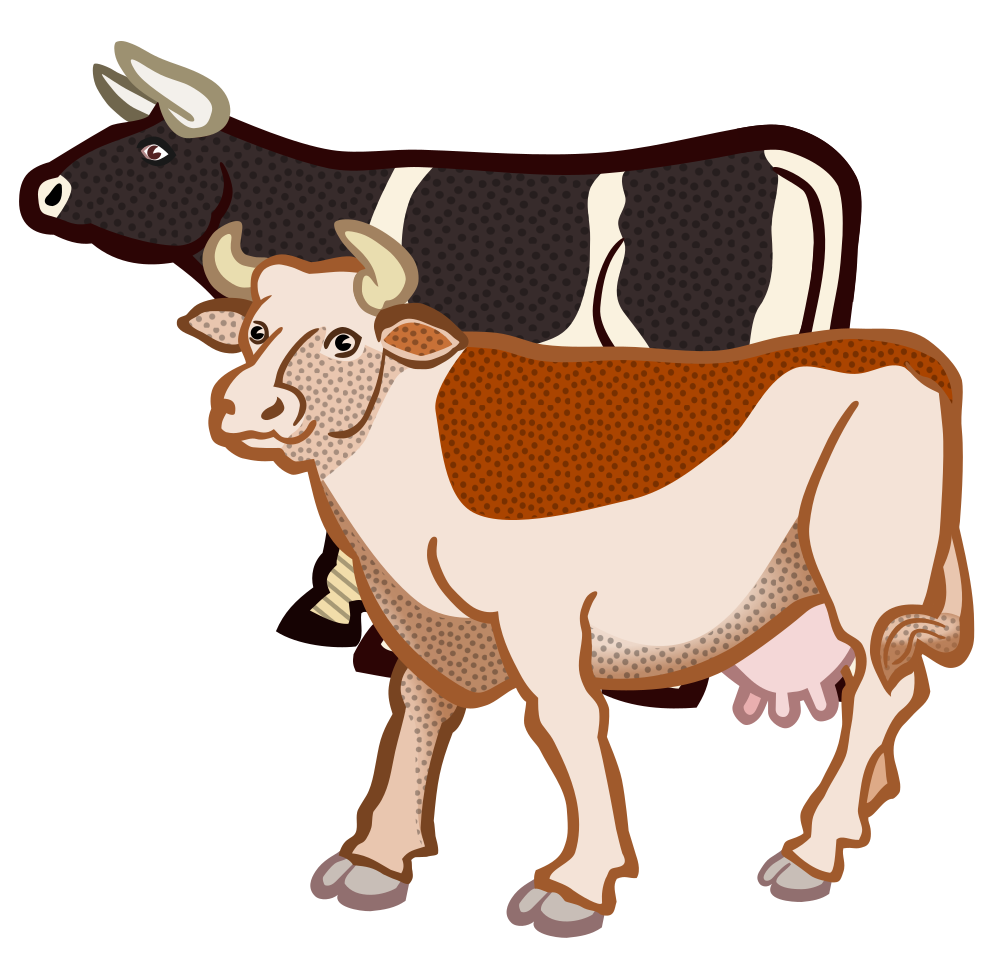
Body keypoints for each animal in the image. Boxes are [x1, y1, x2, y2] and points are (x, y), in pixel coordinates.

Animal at [176, 215, 970, 937]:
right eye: (256, 331)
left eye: (345, 340)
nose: (244, 407)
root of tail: (911, 355)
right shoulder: (433, 621)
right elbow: (417, 713)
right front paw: (373, 862)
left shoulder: (542, 614)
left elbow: (565, 720)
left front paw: (575, 887)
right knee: (894, 681)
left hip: (868, 570)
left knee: (882, 688)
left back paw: (811, 853)